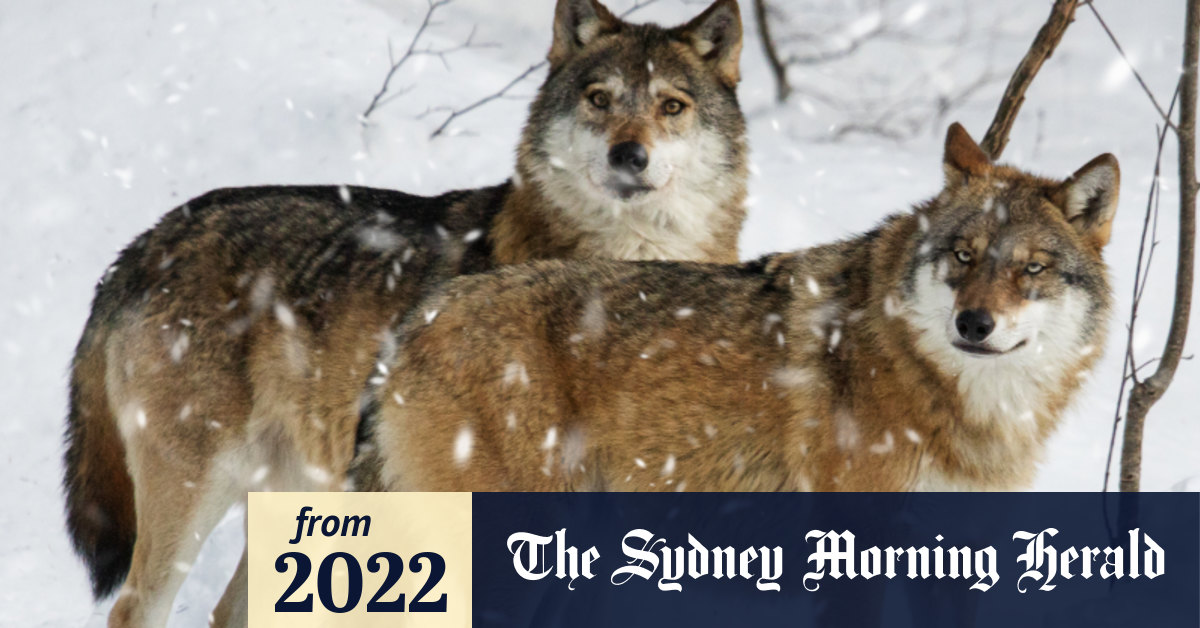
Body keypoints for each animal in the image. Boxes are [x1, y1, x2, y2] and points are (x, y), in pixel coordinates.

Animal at [63, 0, 748, 625]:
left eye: (671, 107)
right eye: (599, 99)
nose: (627, 155)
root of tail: (143, 244)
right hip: (195, 498)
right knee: (134, 608)